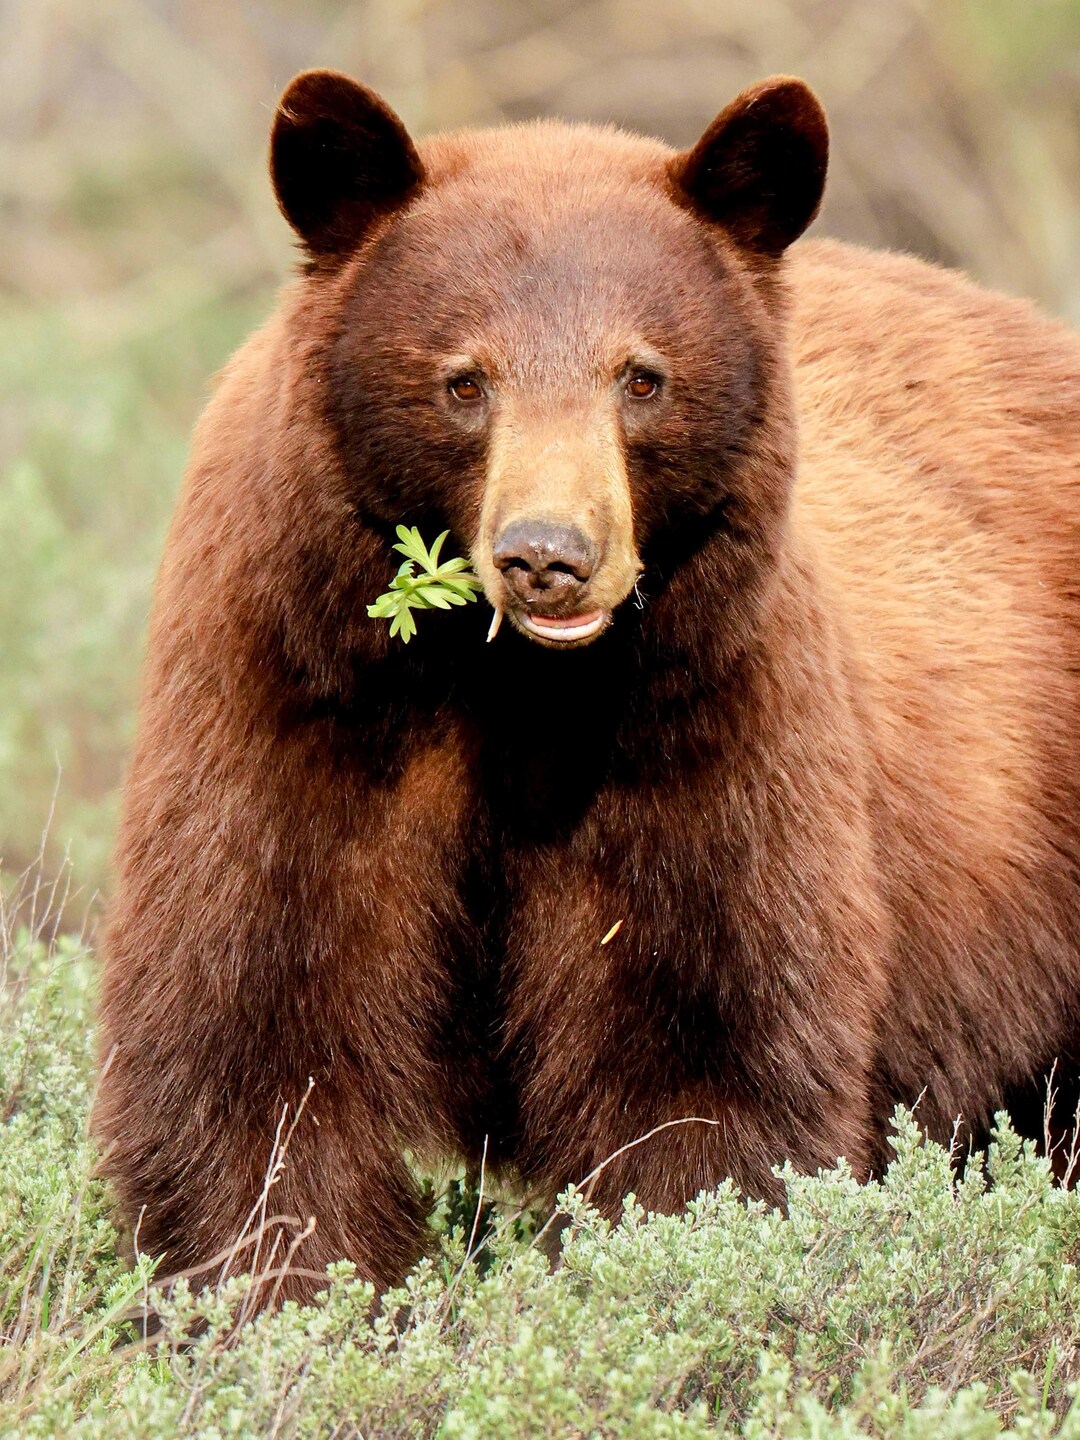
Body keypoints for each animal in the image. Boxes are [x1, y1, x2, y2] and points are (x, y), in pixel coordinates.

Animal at [95, 67, 1080, 1306]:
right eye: (463, 380)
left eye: (642, 376)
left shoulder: (709, 728)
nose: (548, 553)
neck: (507, 690)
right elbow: (254, 1045)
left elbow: (698, 1075)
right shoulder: (290, 697)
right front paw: (274, 1298)